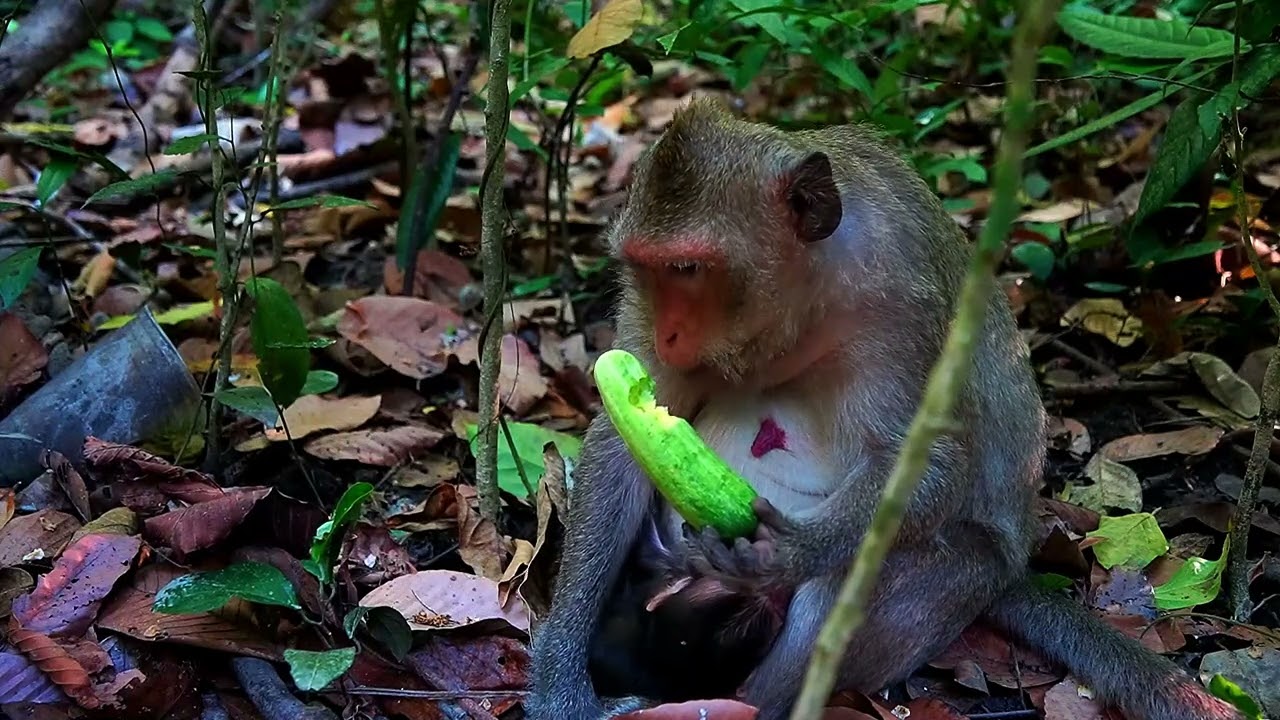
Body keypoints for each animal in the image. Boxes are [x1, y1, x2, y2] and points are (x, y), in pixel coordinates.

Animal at [525, 97, 1245, 720]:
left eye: (689, 269)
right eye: (647, 269)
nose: (670, 335)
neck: (804, 302)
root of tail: (1007, 576)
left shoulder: (901, 304)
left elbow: (929, 464)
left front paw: (792, 551)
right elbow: (626, 438)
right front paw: (560, 673)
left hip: (959, 580)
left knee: (846, 589)